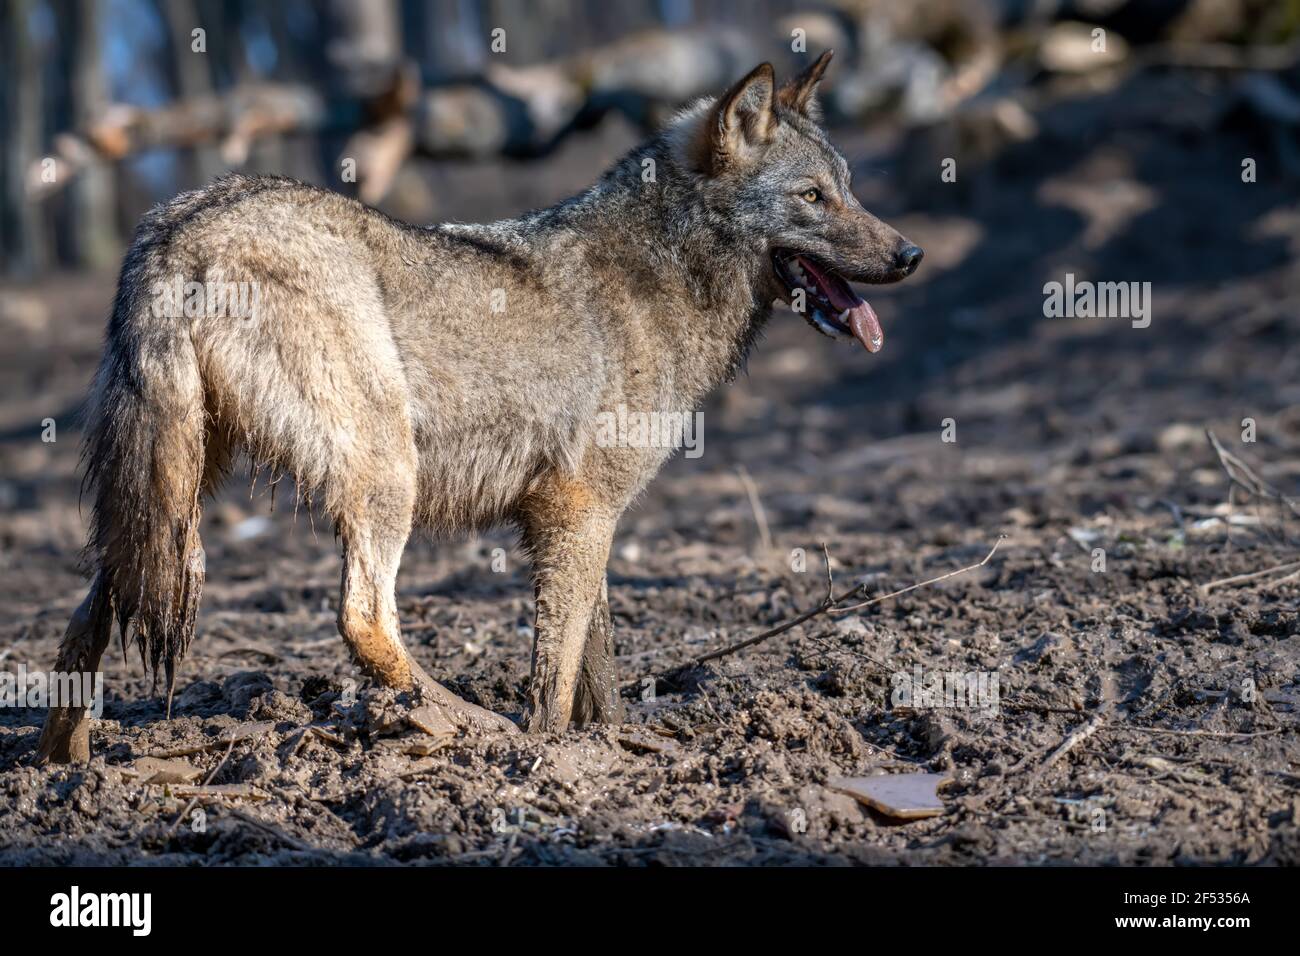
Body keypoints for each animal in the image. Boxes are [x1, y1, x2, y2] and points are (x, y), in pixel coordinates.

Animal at [37, 51, 922, 762]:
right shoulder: (577, 510)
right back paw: (463, 724)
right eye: (813, 197)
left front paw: (614, 740)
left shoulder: (586, 520)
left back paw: (65, 770)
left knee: (85, 620)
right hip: (382, 476)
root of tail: (175, 224)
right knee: (364, 619)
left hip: (171, 492)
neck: (664, 273)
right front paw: (548, 753)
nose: (910, 254)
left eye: (848, 190)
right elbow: (554, 681)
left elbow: (595, 664)